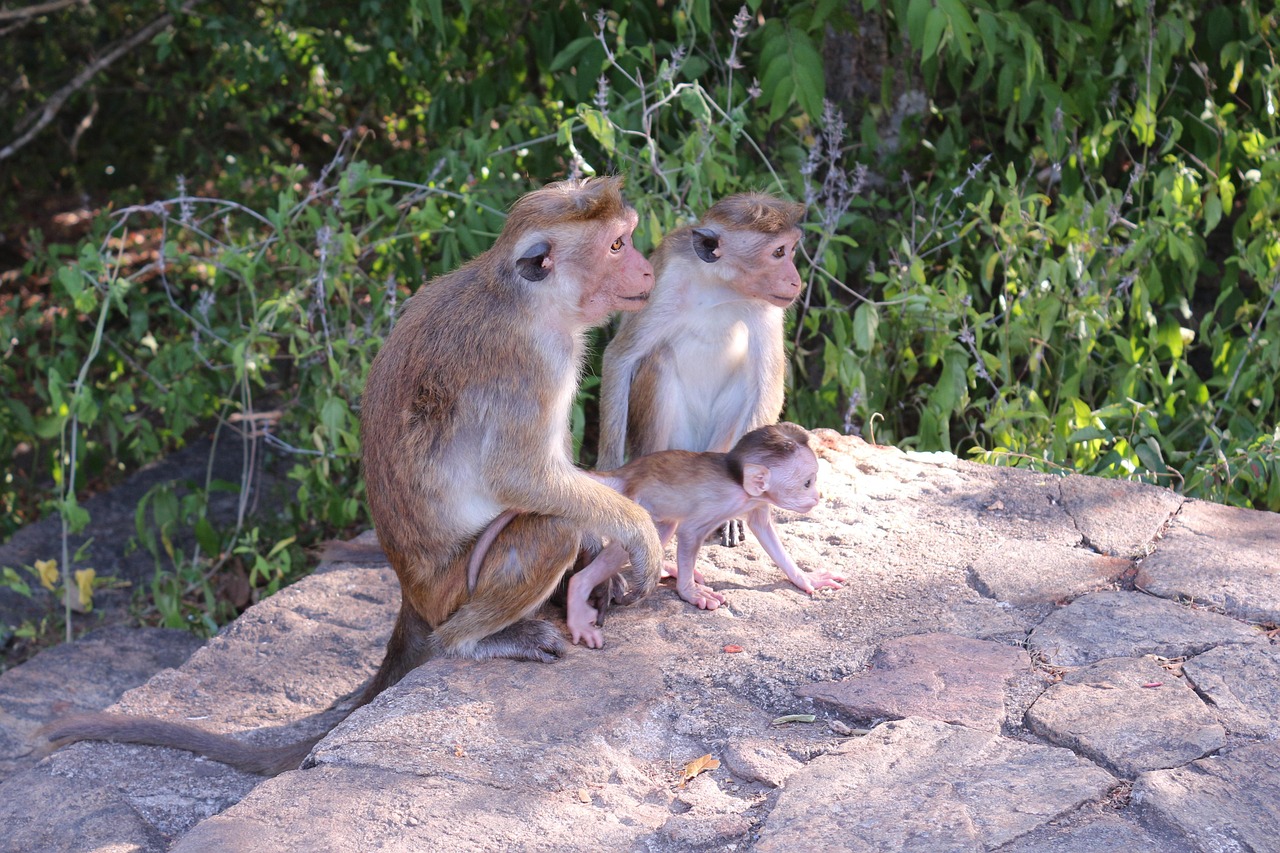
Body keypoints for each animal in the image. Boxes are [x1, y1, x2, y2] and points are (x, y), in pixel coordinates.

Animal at [39, 177, 665, 775]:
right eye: (617, 245)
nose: (649, 269)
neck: (525, 297)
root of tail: (411, 597)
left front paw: (603, 561)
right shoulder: (531, 364)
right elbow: (522, 475)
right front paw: (638, 534)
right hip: (452, 589)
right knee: (546, 529)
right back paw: (480, 640)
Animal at [468, 423, 845, 649]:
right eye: (807, 482)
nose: (817, 497)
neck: (739, 484)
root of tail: (626, 472)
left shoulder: (757, 504)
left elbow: (765, 533)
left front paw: (805, 579)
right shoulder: (717, 504)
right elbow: (691, 533)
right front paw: (691, 594)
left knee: (664, 529)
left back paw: (667, 568)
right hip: (633, 503)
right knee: (639, 537)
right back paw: (580, 595)